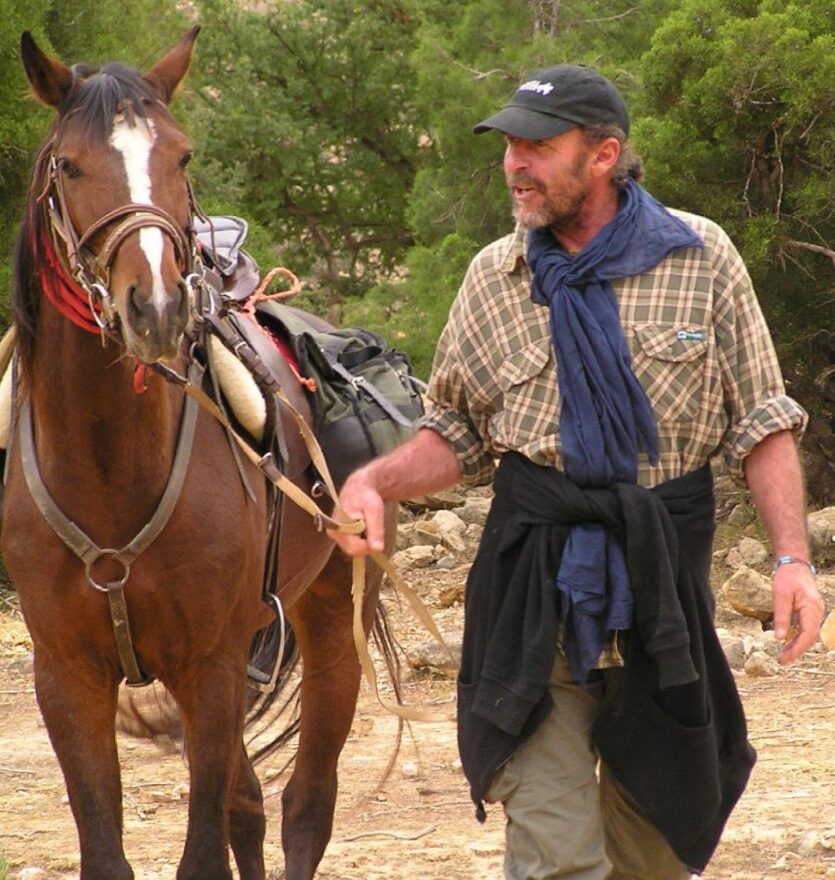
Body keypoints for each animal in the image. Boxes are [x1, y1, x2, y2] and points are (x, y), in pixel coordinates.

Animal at [0, 27, 396, 880]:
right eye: (67, 165)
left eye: (181, 157)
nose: (154, 307)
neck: (109, 472)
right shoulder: (67, 679)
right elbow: (108, 851)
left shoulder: (209, 670)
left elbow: (205, 852)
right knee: (250, 807)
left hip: (329, 621)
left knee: (305, 803)